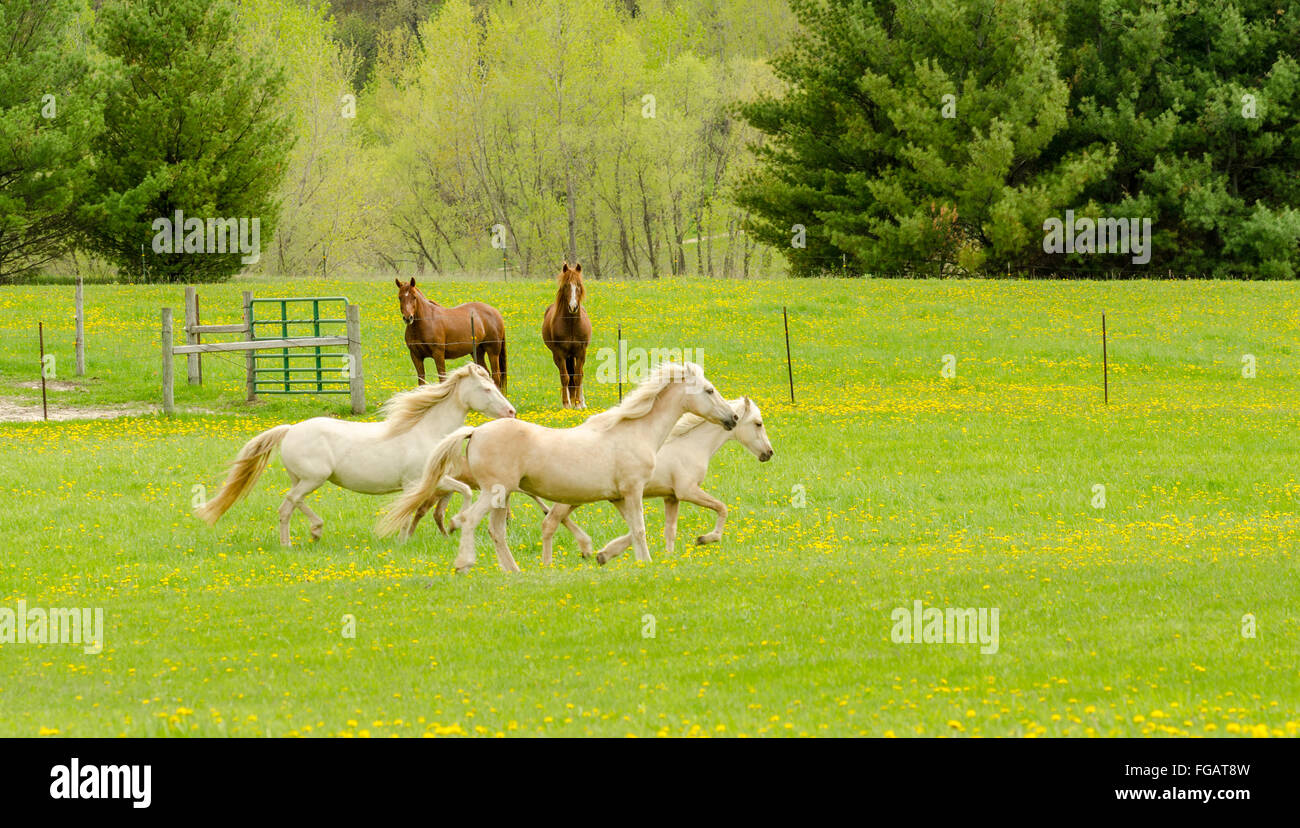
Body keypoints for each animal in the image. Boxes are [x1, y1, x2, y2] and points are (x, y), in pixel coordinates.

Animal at [195, 363, 515, 545]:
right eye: (486, 388)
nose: (511, 412)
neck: (425, 430)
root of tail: (289, 430)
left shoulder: (435, 480)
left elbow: (461, 492)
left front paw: (449, 524)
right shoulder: (415, 482)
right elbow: (411, 509)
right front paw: (408, 538)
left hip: (302, 479)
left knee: (292, 503)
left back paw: (309, 534)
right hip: (313, 478)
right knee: (289, 504)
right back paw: (298, 539)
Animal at [376, 362, 737, 572]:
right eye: (709, 390)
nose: (732, 418)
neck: (635, 431)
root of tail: (475, 431)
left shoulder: (618, 496)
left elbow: (629, 530)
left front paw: (604, 554)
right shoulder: (633, 491)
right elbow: (639, 530)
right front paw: (645, 562)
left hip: (502, 496)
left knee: (496, 531)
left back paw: (514, 572)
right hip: (494, 491)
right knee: (467, 520)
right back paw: (465, 564)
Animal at [539, 396, 774, 565]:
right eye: (758, 423)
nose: (769, 453)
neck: (692, 445)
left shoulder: (671, 497)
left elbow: (669, 530)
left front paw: (666, 557)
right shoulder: (687, 491)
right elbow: (722, 508)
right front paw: (704, 539)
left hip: (578, 496)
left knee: (556, 518)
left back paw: (586, 550)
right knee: (550, 522)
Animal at [541, 262, 591, 408]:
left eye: (578, 285)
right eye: (565, 286)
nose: (573, 307)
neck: (572, 325)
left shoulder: (581, 352)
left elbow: (578, 376)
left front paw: (578, 404)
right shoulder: (560, 354)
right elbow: (565, 377)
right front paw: (566, 404)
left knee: (579, 374)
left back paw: (581, 402)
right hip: (559, 357)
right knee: (565, 375)